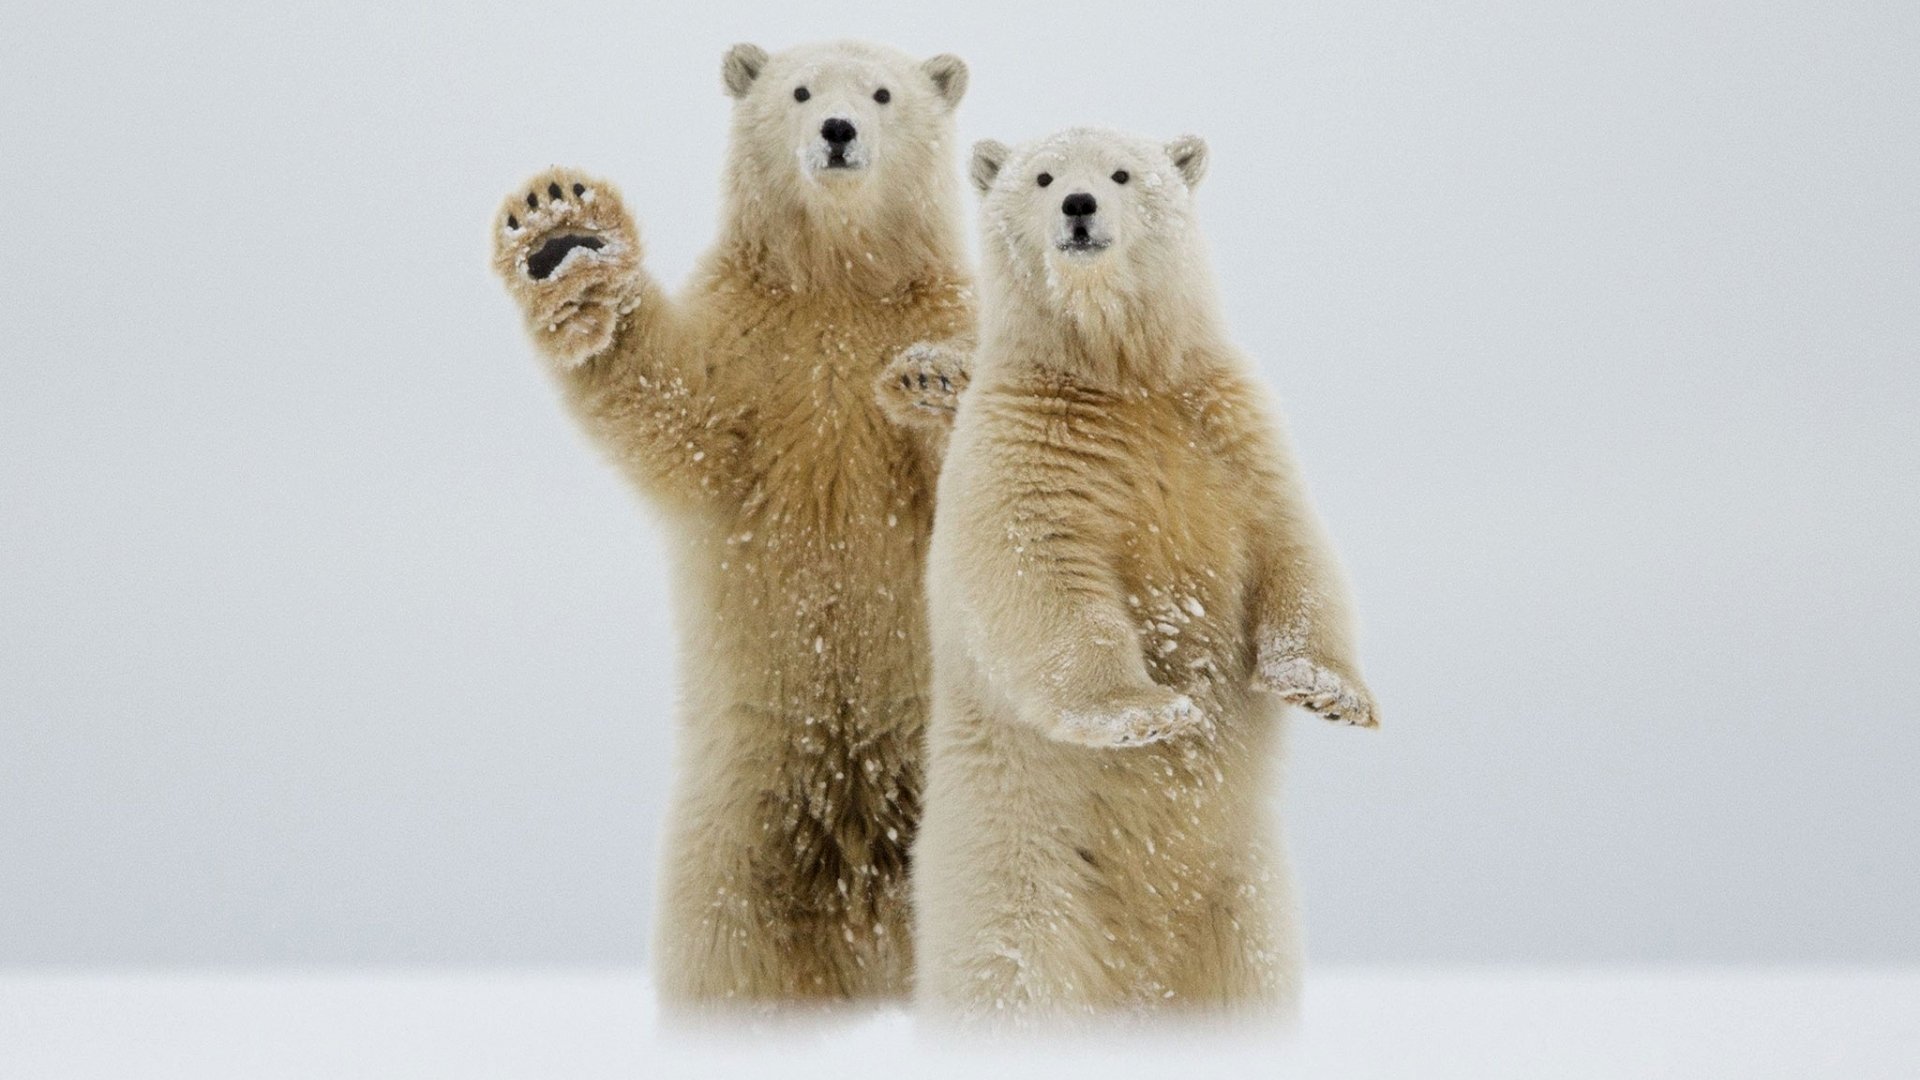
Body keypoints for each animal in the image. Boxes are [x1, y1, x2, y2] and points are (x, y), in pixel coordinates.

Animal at [488, 40, 975, 1010]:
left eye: (882, 92)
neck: (838, 285)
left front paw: (937, 381)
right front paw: (562, 231)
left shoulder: (934, 312)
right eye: (799, 89)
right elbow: (673, 406)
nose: (837, 130)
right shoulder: (754, 350)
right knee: (724, 956)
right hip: (734, 839)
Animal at [910, 128, 1377, 1029]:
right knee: (1014, 972)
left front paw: (1328, 690)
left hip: (1243, 894)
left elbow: (1293, 544)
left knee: (1249, 974)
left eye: (1123, 173)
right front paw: (1148, 711)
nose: (1079, 205)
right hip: (1014, 868)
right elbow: (1039, 572)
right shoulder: (1028, 442)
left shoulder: (1227, 424)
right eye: (1042, 176)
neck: (1123, 373)